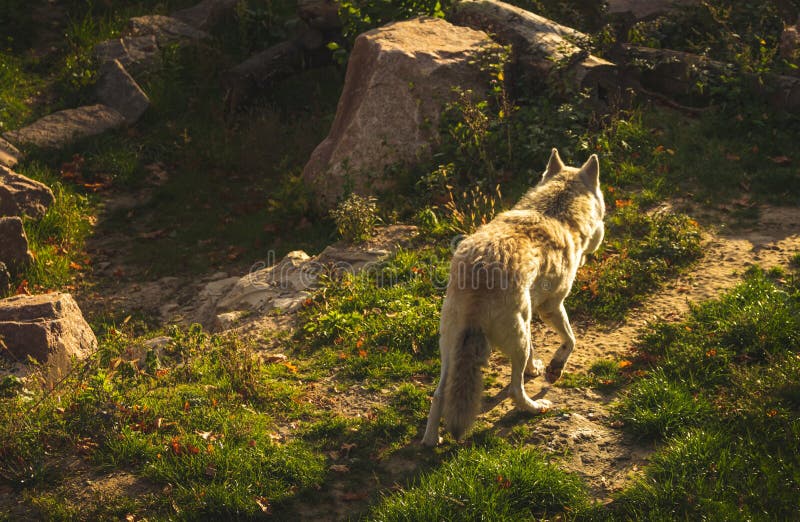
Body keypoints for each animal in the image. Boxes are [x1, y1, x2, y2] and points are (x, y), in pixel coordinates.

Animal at [422, 149, 605, 446]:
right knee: (514, 390)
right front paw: (554, 368)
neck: (555, 213)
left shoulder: (531, 314)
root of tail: (480, 276)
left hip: (451, 348)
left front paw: (536, 368)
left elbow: (536, 348)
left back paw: (430, 441)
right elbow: (571, 340)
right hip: (515, 341)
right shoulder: (551, 307)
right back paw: (535, 408)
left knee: (438, 395)